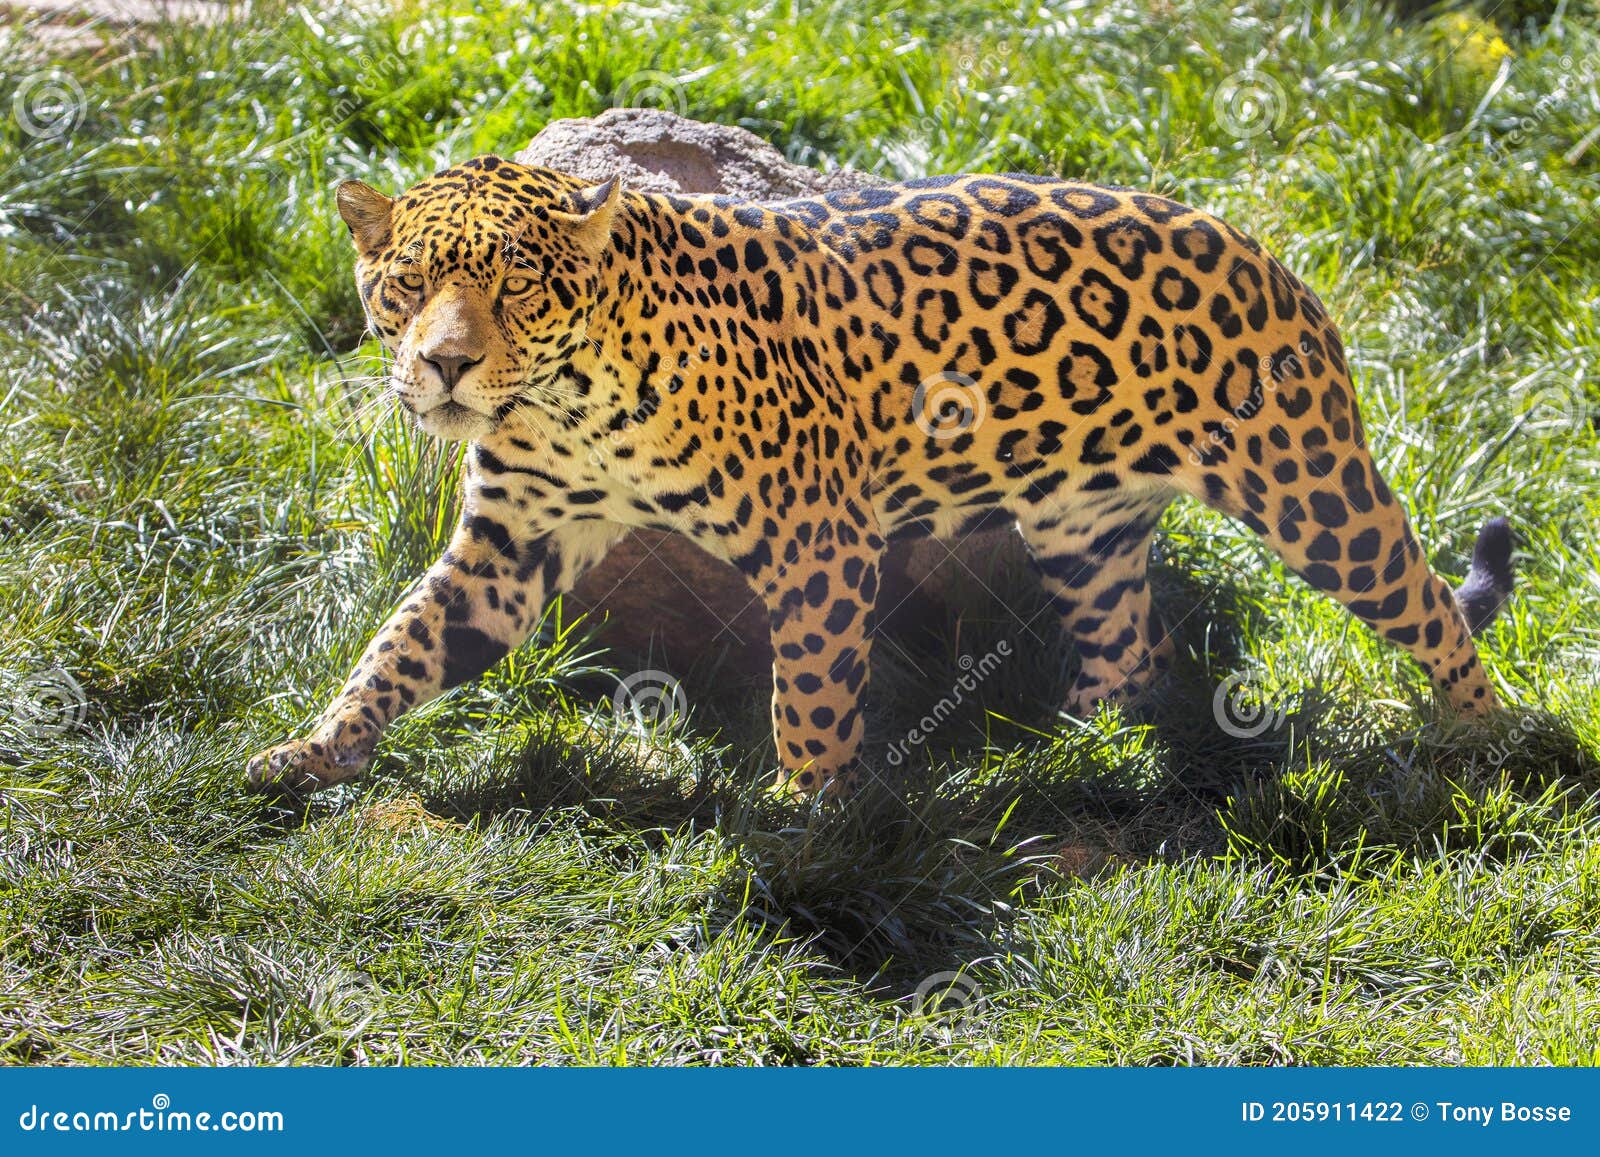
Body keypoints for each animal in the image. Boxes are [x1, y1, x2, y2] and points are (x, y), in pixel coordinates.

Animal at [247, 154, 1514, 797]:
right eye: (407, 284)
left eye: (514, 283)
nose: (444, 364)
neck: (572, 401)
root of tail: (1273, 260)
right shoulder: (511, 546)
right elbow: (401, 644)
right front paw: (314, 748)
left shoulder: (816, 544)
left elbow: (807, 698)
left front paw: (807, 820)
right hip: (1082, 528)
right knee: (1133, 644)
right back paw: (1082, 755)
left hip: (1309, 490)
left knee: (1425, 603)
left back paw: (1488, 736)